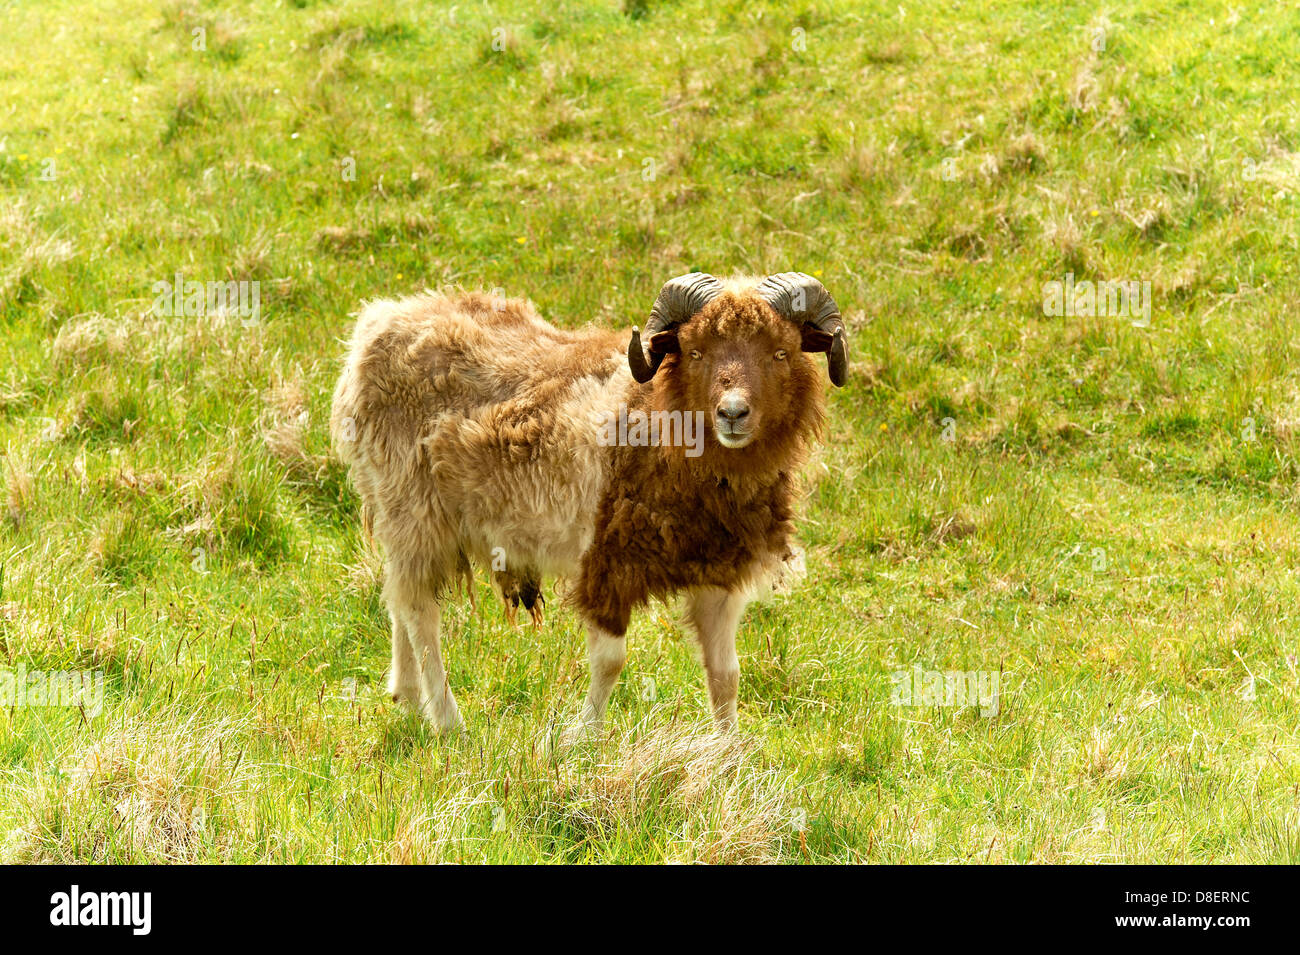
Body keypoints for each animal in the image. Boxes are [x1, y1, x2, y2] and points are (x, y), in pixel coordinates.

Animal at [329, 272, 848, 738]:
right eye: (695, 351)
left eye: (780, 352)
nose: (733, 413)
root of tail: (376, 325)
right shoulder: (606, 564)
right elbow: (611, 661)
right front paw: (579, 738)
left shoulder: (718, 575)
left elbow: (726, 674)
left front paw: (730, 754)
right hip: (413, 507)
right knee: (420, 613)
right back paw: (447, 720)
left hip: (396, 511)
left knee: (398, 595)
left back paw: (407, 697)